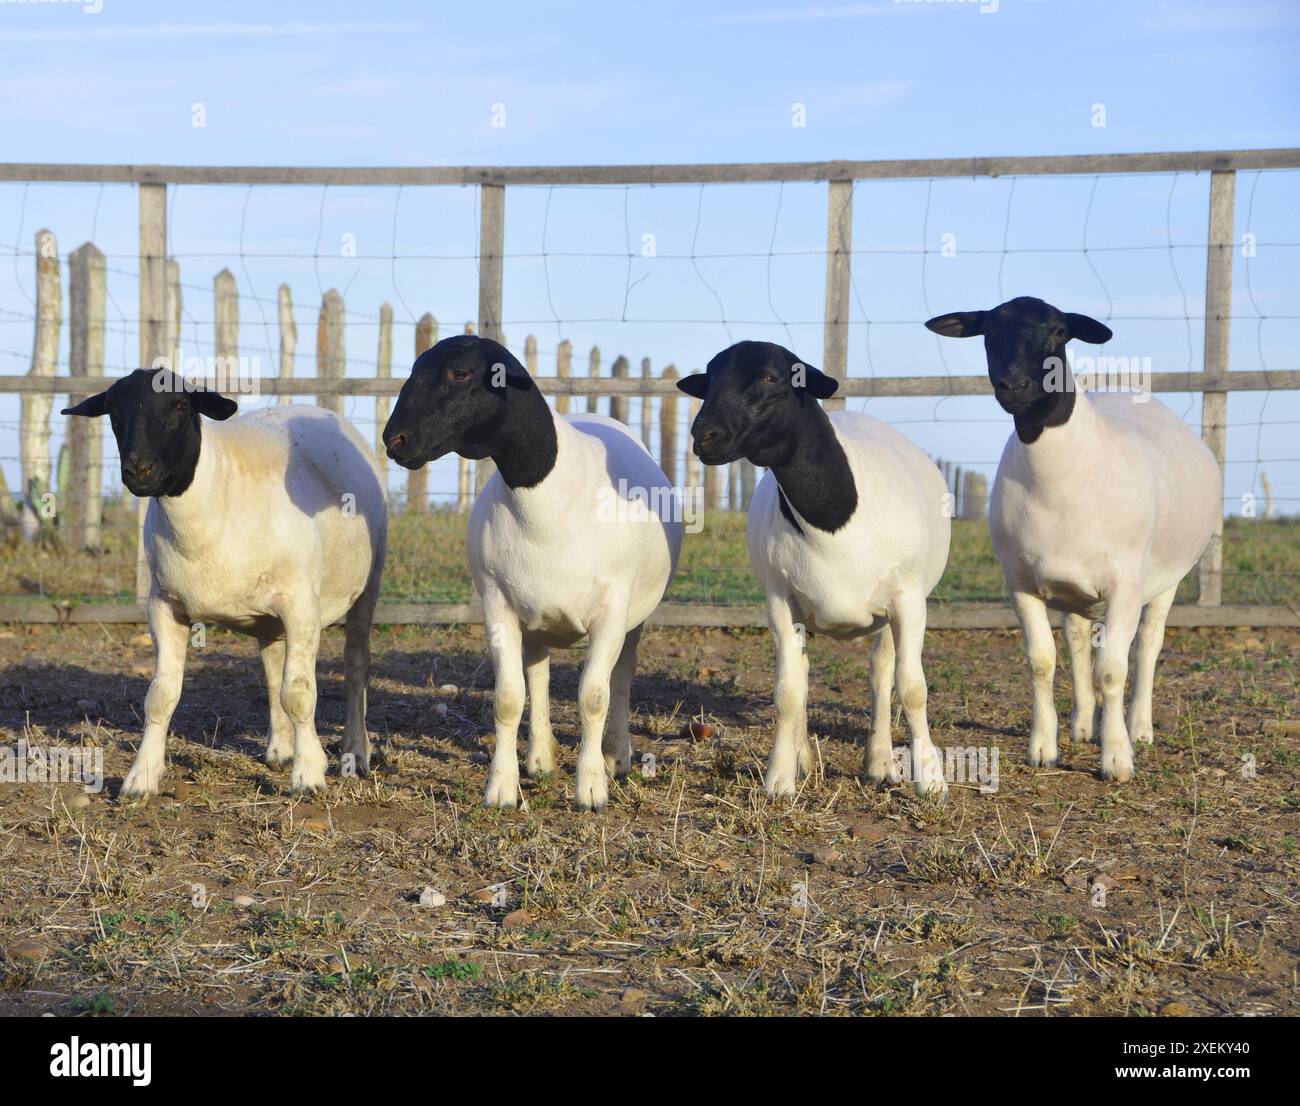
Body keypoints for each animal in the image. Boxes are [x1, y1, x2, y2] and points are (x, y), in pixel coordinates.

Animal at [63, 369, 388, 798]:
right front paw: (140, 778)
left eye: (179, 406)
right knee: (272, 669)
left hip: (367, 584)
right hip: (267, 618)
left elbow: (299, 694)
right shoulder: (164, 605)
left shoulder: (302, 604)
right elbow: (160, 696)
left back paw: (355, 752)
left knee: (355, 665)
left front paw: (308, 776)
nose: (138, 471)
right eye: (114, 410)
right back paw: (280, 750)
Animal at [383, 335, 682, 811]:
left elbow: (594, 697)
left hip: (634, 617)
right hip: (536, 613)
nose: (395, 439)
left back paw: (617, 756)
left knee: (622, 675)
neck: (546, 499)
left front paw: (591, 789)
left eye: (461, 372)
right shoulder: (497, 606)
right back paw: (540, 758)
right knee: (537, 673)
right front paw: (501, 789)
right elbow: (508, 698)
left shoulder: (611, 612)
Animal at [678, 341, 952, 798]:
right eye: (710, 379)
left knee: (882, 673)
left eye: (772, 376)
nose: (704, 436)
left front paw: (931, 781)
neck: (834, 516)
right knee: (805, 675)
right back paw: (804, 758)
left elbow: (912, 688)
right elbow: (789, 692)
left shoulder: (910, 603)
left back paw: (880, 763)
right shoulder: (779, 603)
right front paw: (779, 779)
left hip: (894, 611)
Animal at [925, 296, 1221, 781]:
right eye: (988, 331)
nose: (1013, 384)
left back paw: (1139, 727)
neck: (1058, 482)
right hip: (1072, 589)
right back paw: (1084, 724)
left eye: (1058, 332)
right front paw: (1044, 747)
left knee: (1148, 647)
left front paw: (1117, 758)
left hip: (1167, 579)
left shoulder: (1124, 586)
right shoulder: (1020, 583)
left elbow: (1114, 670)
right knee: (1079, 643)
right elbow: (1043, 663)